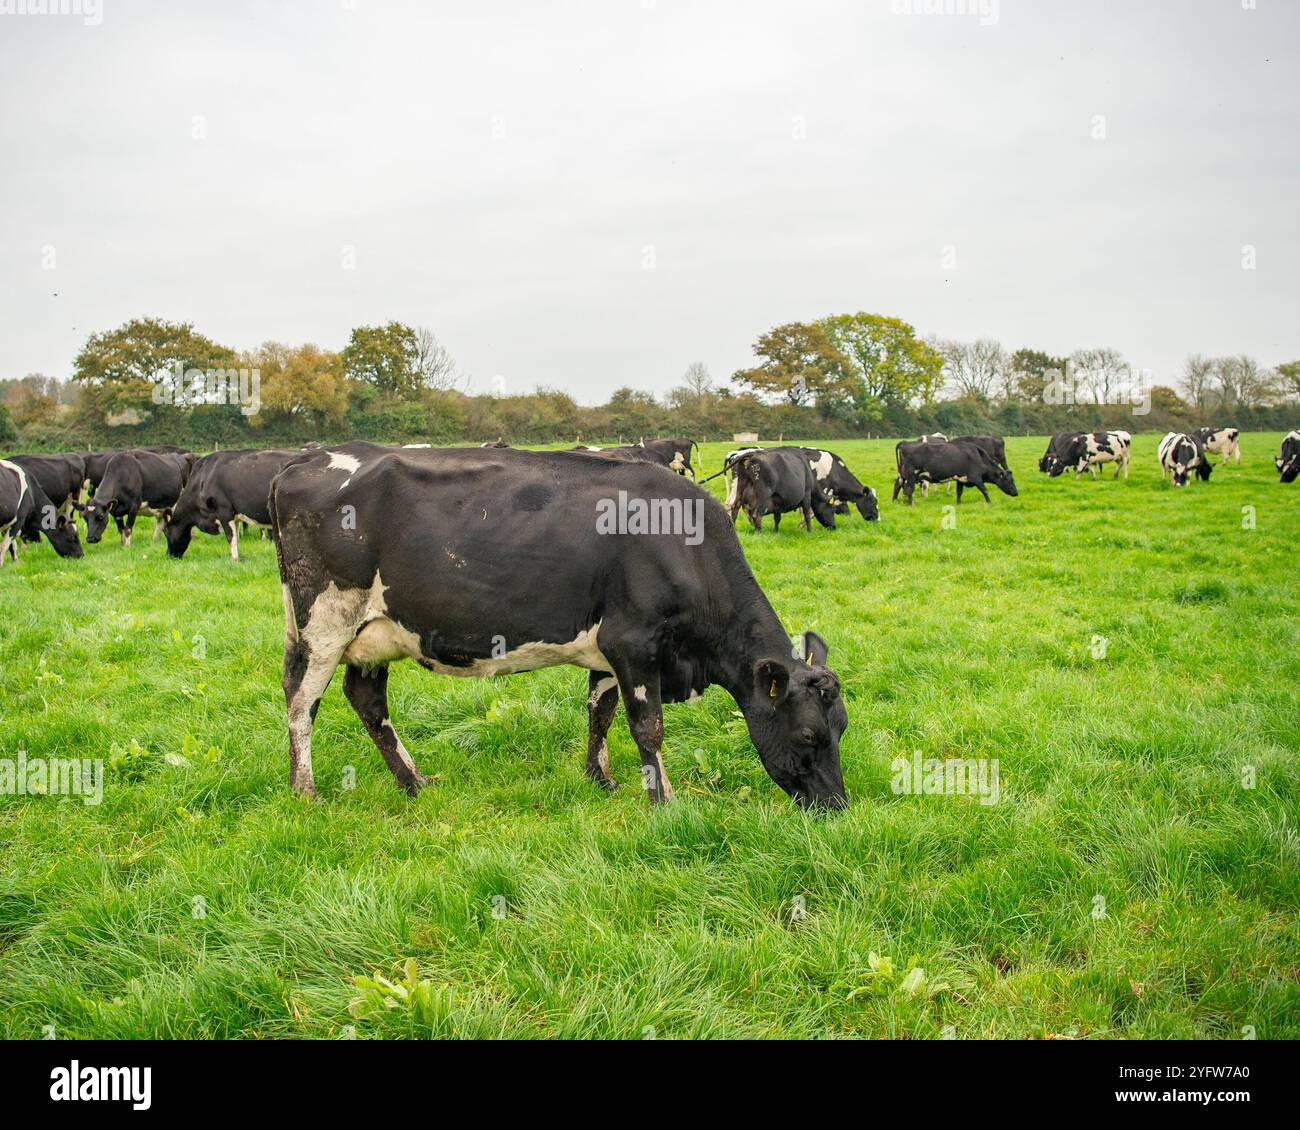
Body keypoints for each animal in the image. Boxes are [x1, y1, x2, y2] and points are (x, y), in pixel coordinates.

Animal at [164, 448, 300, 560]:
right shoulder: (234, 516)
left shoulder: (224, 511)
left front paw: (235, 559)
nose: (169, 556)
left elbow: (230, 537)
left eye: (166, 533)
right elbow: (236, 536)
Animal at [268, 445, 849, 810]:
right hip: (324, 623)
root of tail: (302, 461)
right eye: (808, 734)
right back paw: (305, 791)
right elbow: (648, 726)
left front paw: (602, 779)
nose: (837, 806)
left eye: (841, 726)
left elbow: (600, 712)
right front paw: (662, 799)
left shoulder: (609, 647)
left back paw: (413, 782)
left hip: (373, 634)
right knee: (301, 701)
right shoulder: (634, 641)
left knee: (368, 701)